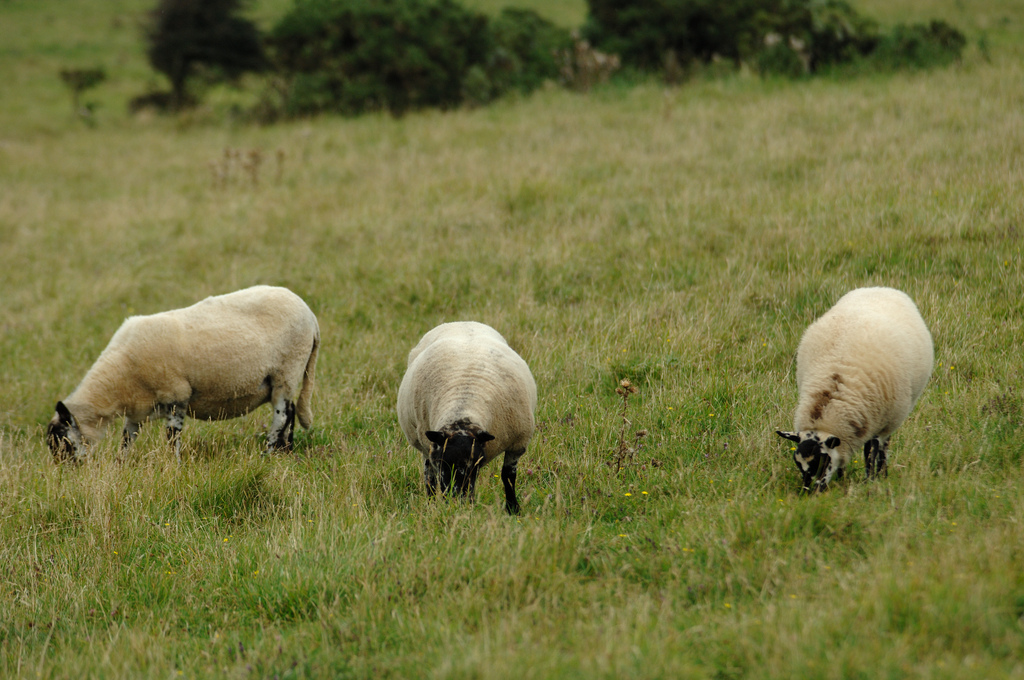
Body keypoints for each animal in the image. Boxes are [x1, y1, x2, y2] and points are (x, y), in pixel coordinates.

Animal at [46, 285, 319, 462]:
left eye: (63, 440)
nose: (69, 473)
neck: (117, 382)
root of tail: (310, 315)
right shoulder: (137, 410)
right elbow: (127, 439)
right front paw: (120, 465)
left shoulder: (176, 396)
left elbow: (171, 438)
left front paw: (174, 465)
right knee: (291, 413)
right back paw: (286, 451)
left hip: (287, 370)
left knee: (283, 415)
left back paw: (269, 453)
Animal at [397, 321, 537, 515]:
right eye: (443, 463)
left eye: (473, 465)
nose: (456, 500)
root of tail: (461, 322)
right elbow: (432, 476)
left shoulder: (517, 444)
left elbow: (508, 476)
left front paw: (513, 510)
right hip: (424, 444)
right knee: (429, 476)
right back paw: (431, 505)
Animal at [776, 286, 933, 491]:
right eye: (798, 465)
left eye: (822, 461)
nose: (810, 492)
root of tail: (880, 288)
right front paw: (842, 479)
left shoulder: (879, 421)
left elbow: (871, 452)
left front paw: (871, 480)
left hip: (891, 417)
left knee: (882, 447)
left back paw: (882, 473)